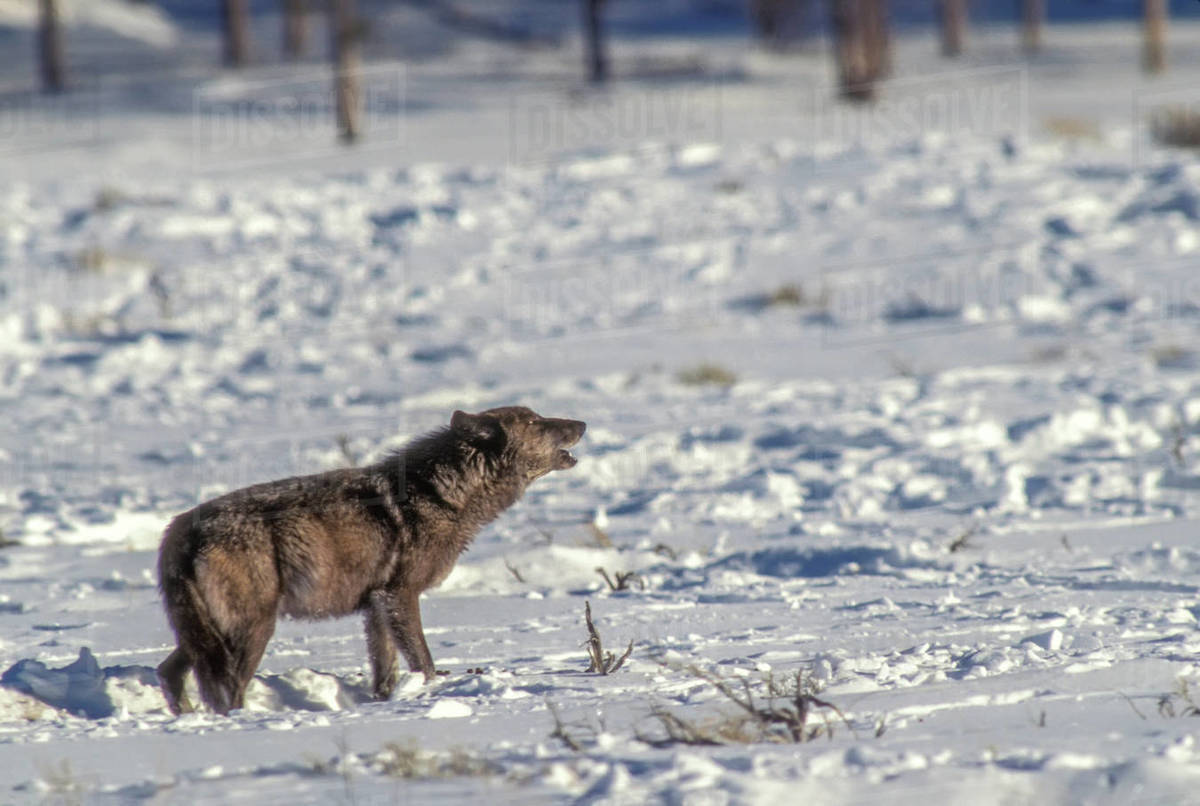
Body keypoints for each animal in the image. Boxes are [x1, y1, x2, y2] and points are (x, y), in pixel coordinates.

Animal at [156, 406, 585, 715]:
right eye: (534, 422)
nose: (582, 422)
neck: (441, 495)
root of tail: (179, 531)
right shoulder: (400, 595)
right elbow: (423, 660)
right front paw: (430, 692)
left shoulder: (376, 604)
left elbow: (385, 671)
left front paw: (383, 704)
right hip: (252, 629)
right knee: (227, 690)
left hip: (207, 633)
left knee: (169, 672)